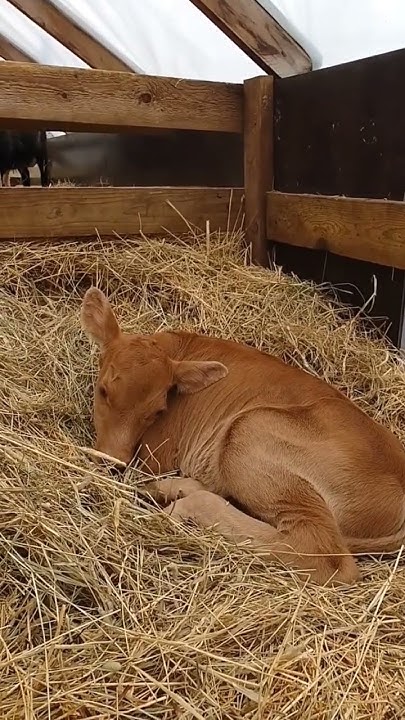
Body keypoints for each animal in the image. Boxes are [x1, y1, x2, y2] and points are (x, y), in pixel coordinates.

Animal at [80, 287, 405, 585]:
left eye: (157, 410)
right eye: (103, 390)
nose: (112, 462)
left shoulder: (157, 455)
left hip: (251, 431)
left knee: (323, 555)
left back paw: (181, 504)